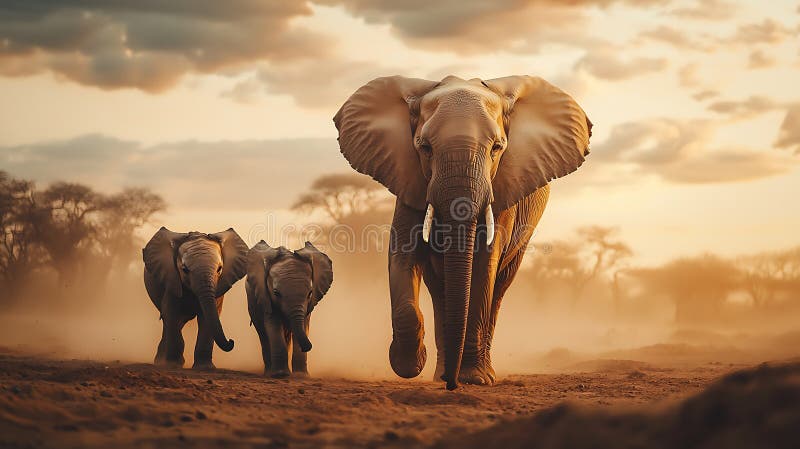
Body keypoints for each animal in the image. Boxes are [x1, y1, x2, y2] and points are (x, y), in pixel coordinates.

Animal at [143, 227, 248, 369]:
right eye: (184, 269)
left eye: (220, 269)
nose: (231, 341)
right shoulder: (171, 280)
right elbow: (171, 313)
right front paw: (173, 365)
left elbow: (207, 319)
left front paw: (205, 368)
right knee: (169, 321)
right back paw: (162, 362)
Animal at [245, 241, 333, 378]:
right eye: (276, 293)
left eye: (310, 293)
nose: (308, 346)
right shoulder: (265, 297)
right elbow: (274, 326)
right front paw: (280, 375)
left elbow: (303, 326)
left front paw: (301, 376)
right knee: (263, 335)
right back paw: (268, 373)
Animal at [334, 75, 591, 389]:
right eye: (425, 148)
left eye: (496, 148)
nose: (452, 384)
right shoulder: (410, 181)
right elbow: (403, 256)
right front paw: (410, 364)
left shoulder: (503, 191)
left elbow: (483, 266)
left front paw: (473, 379)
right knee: (440, 288)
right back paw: (441, 372)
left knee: (498, 288)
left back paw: (478, 373)